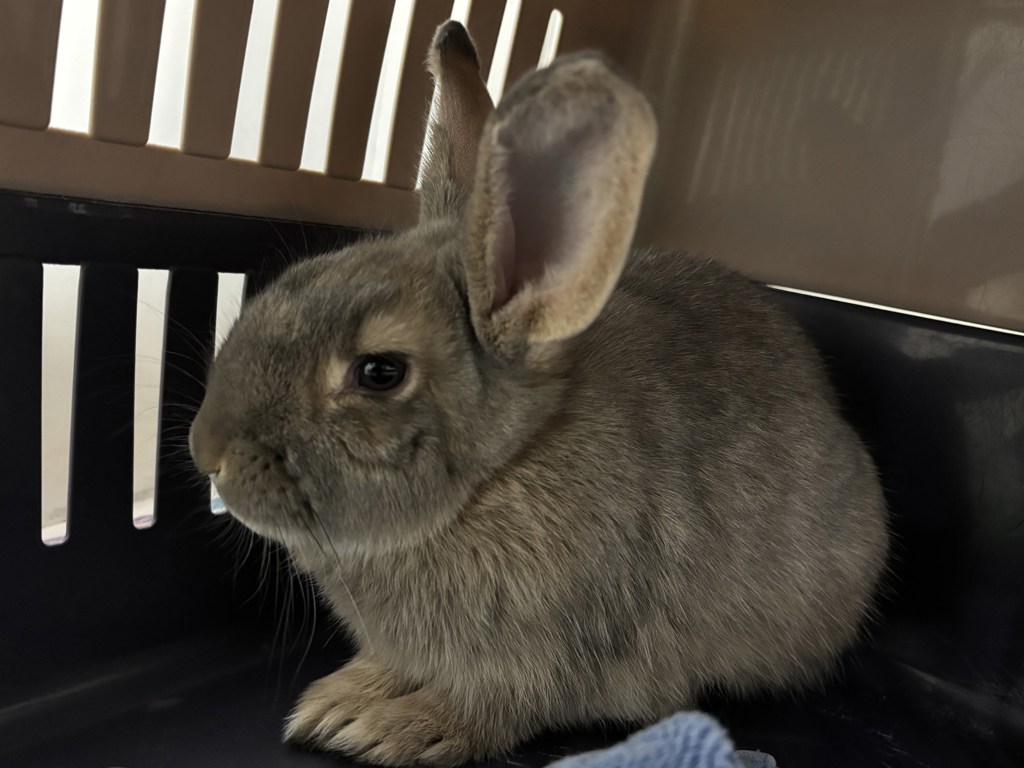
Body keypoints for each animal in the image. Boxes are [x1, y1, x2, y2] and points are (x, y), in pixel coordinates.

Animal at [189, 20, 888, 767]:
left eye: (379, 372)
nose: (206, 452)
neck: (493, 478)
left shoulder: (553, 654)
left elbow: (498, 706)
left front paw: (384, 727)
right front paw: (340, 699)